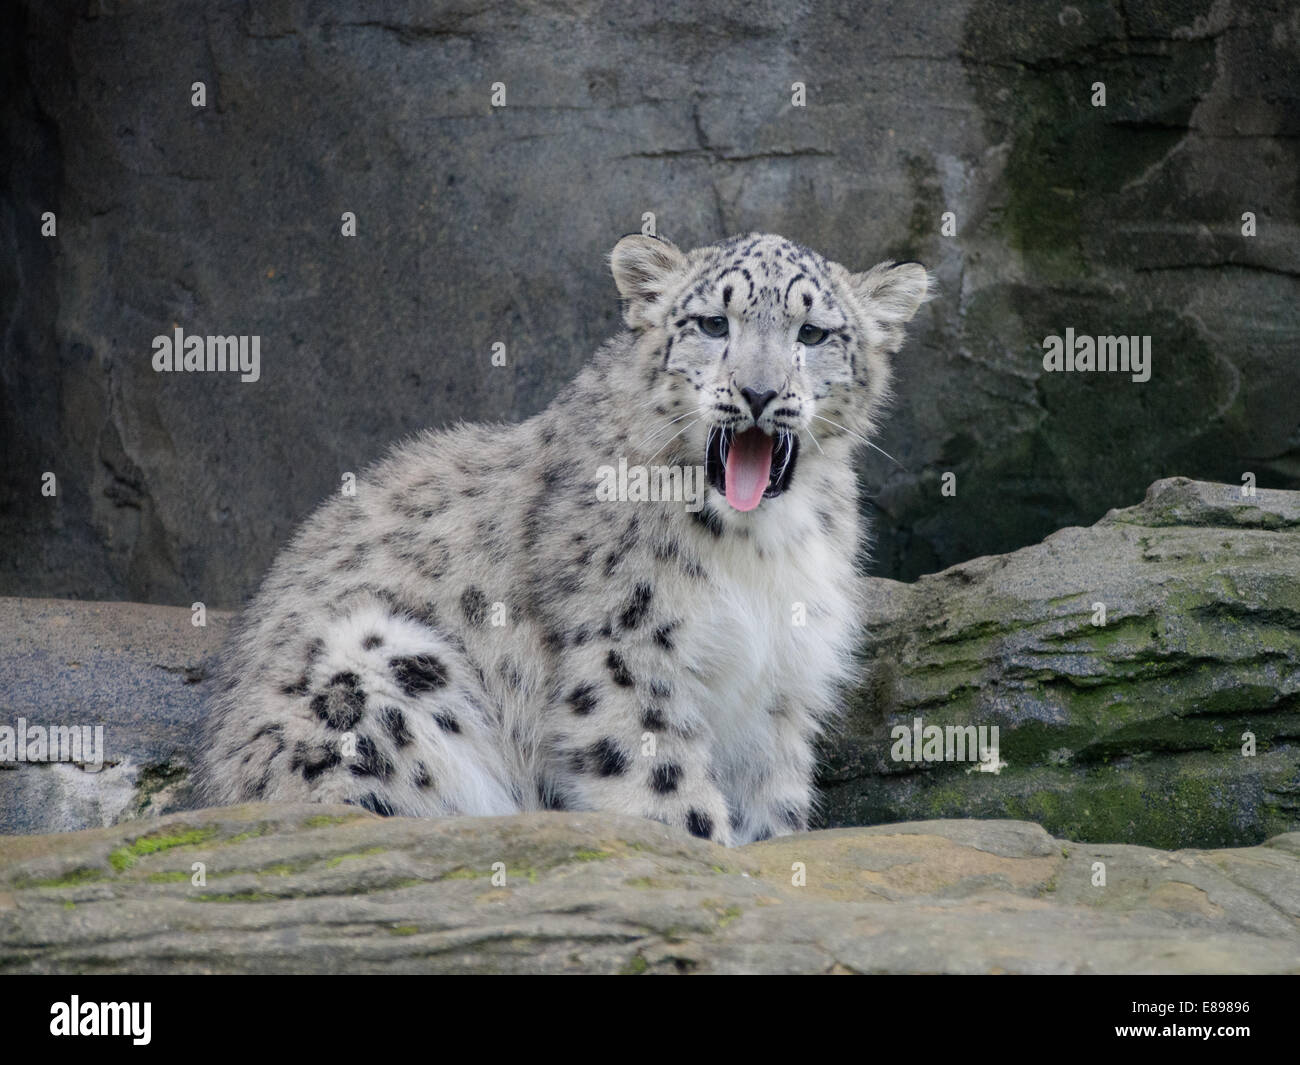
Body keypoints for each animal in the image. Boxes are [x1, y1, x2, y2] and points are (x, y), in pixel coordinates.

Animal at [194, 231, 931, 845]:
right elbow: (662, 785)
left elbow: (772, 801)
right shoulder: (624, 654)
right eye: (713, 323)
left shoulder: (780, 686)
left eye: (814, 332)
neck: (760, 546)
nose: (757, 391)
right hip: (371, 662)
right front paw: (699, 848)